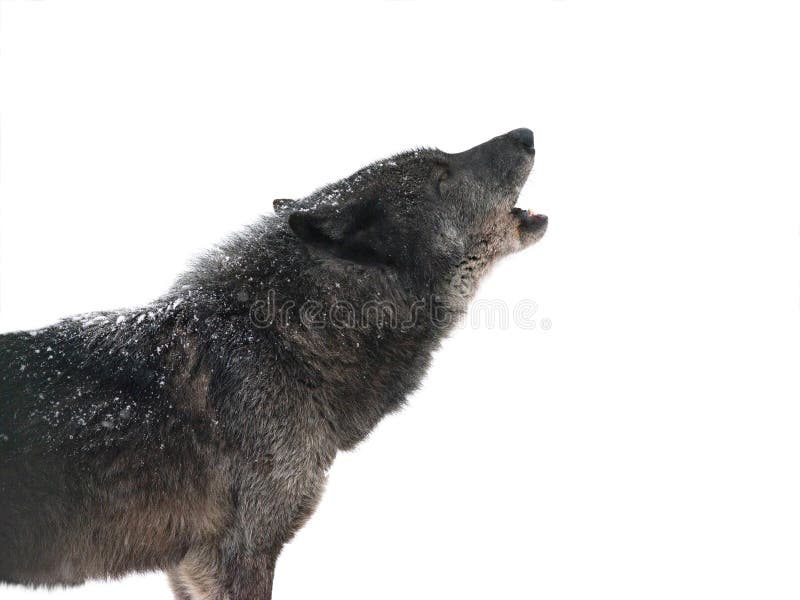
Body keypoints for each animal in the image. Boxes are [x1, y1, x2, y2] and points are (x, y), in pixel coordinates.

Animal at [0, 128, 547, 598]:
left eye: (446, 162)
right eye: (441, 177)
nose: (526, 133)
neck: (280, 342)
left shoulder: (187, 564)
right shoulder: (236, 554)